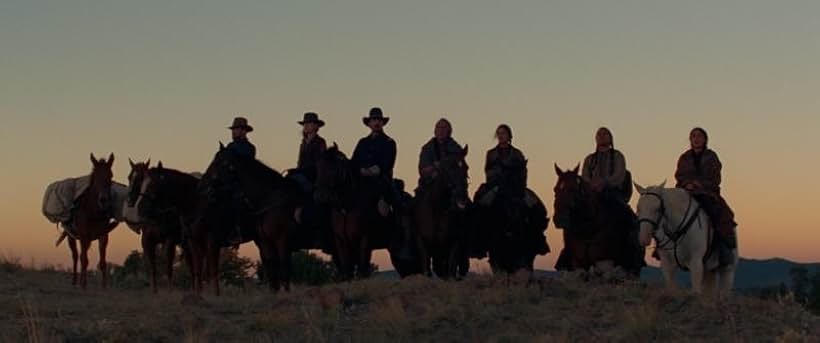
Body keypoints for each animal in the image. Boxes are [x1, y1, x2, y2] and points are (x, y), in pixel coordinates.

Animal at [67, 155, 120, 288]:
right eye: (95, 177)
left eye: (111, 176)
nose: (103, 200)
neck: (93, 211)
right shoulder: (83, 235)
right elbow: (84, 259)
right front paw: (83, 285)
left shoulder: (103, 235)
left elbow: (102, 261)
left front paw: (104, 286)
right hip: (71, 237)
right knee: (76, 256)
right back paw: (75, 282)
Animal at [414, 146, 470, 280]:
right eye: (448, 169)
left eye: (466, 167)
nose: (462, 197)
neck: (439, 210)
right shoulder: (422, 242)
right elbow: (426, 269)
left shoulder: (454, 242)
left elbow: (451, 271)